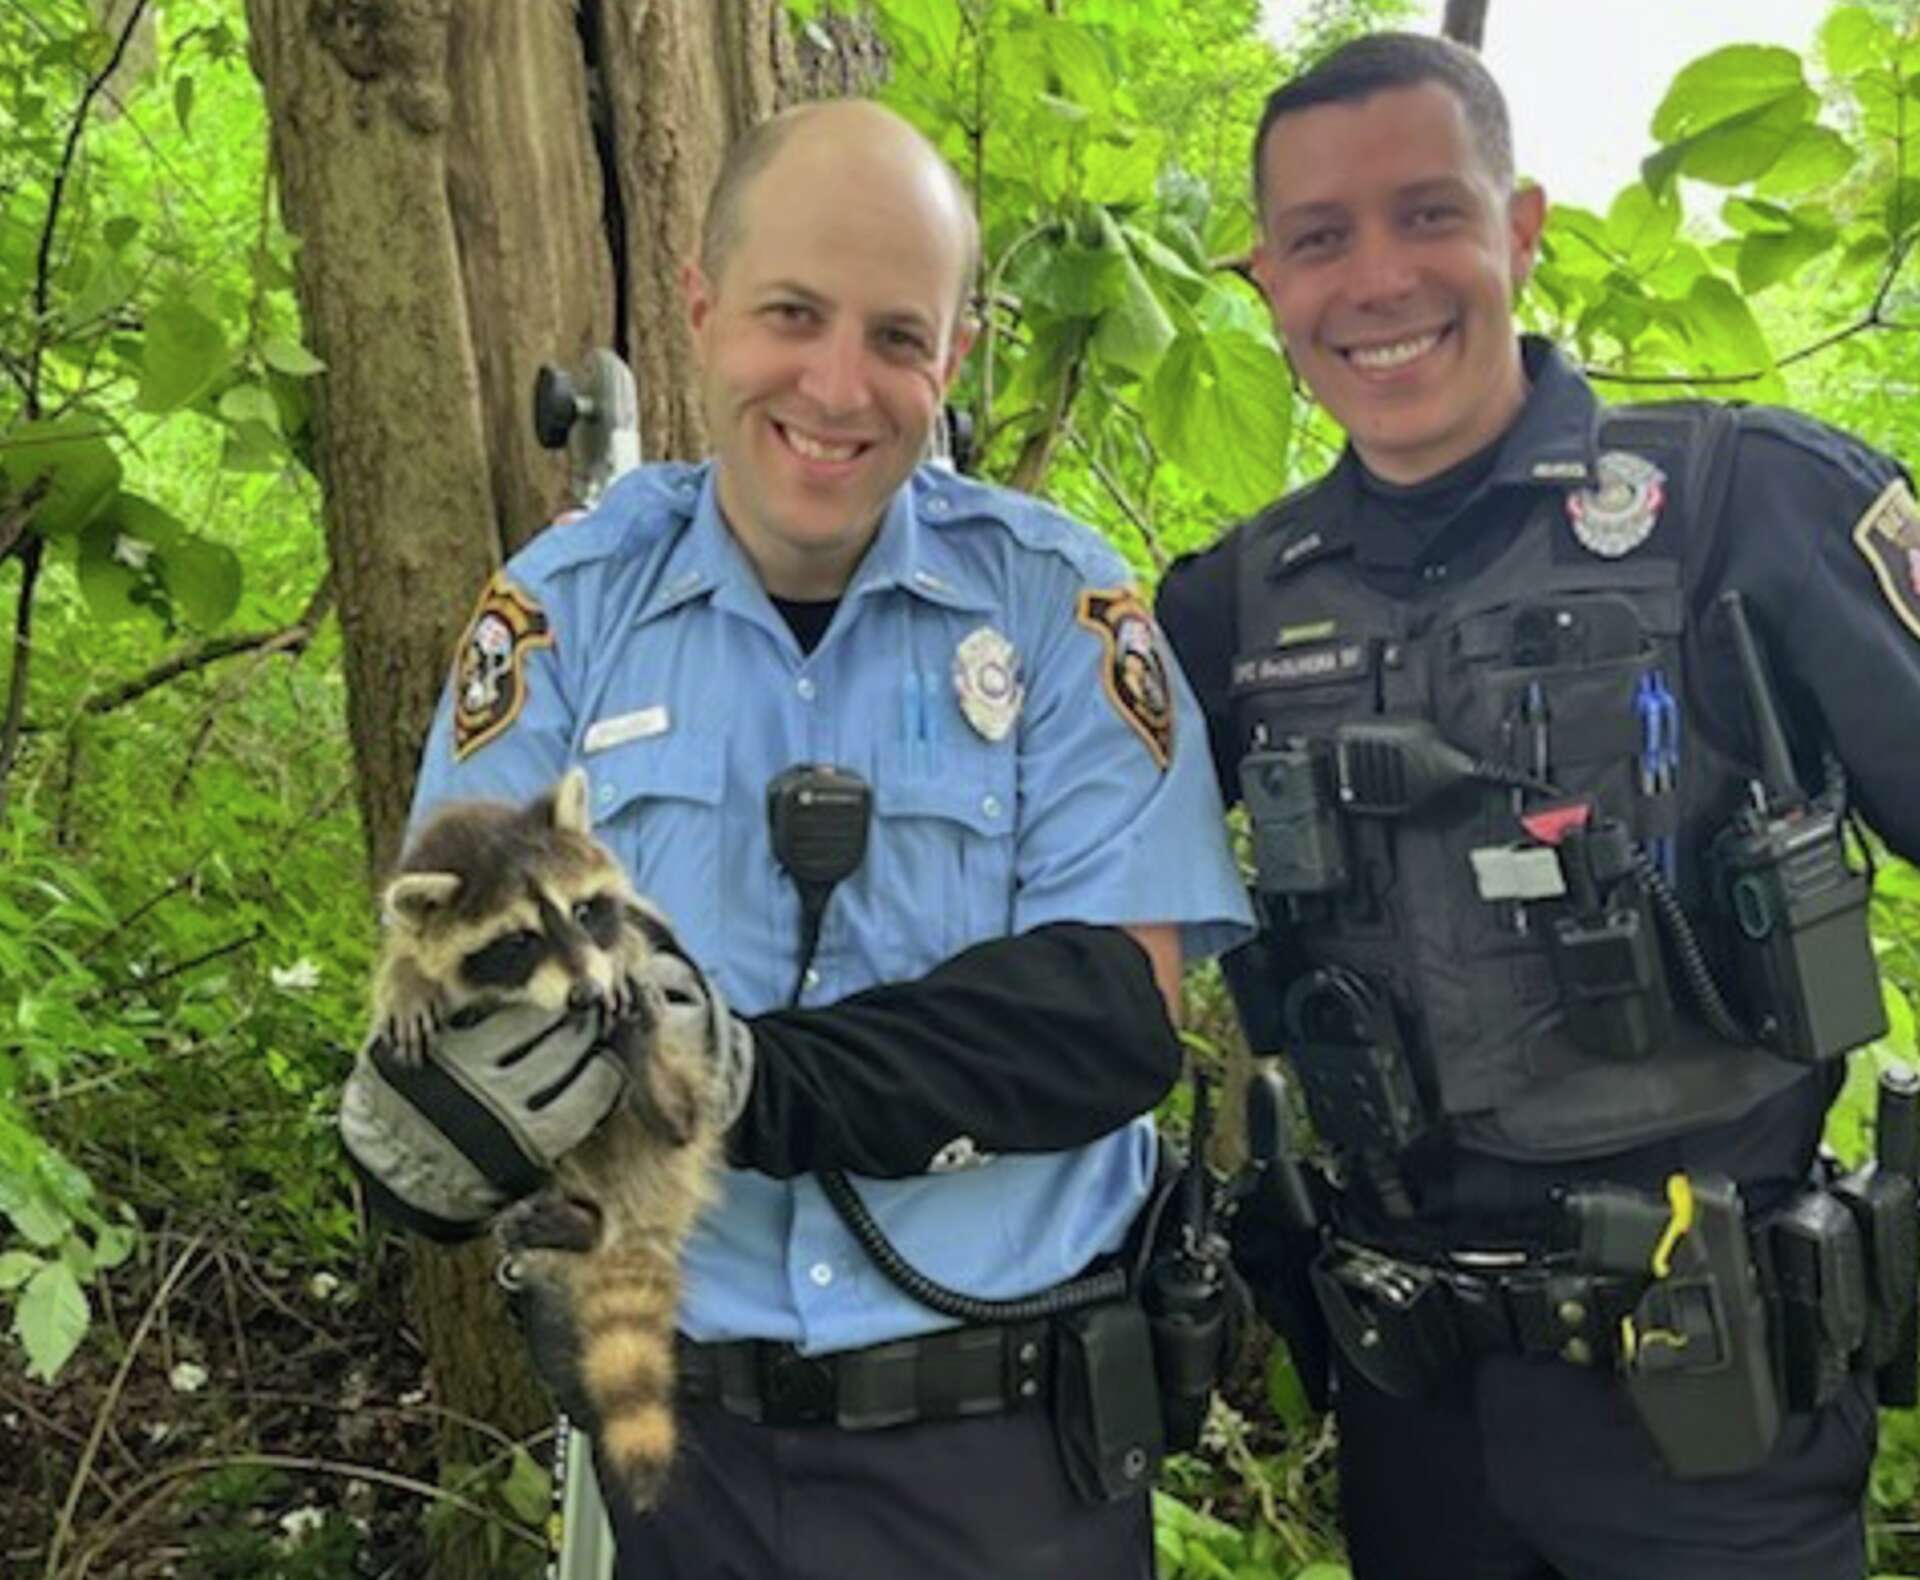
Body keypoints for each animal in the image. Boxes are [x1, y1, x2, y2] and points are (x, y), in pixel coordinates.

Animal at [371, 767, 721, 1512]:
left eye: (585, 911)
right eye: (518, 942)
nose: (588, 993)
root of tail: (636, 1206)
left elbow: (644, 931)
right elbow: (404, 955)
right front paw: (406, 982)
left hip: (661, 1124)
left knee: (679, 1119)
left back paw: (662, 1094)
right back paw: (575, 1224)